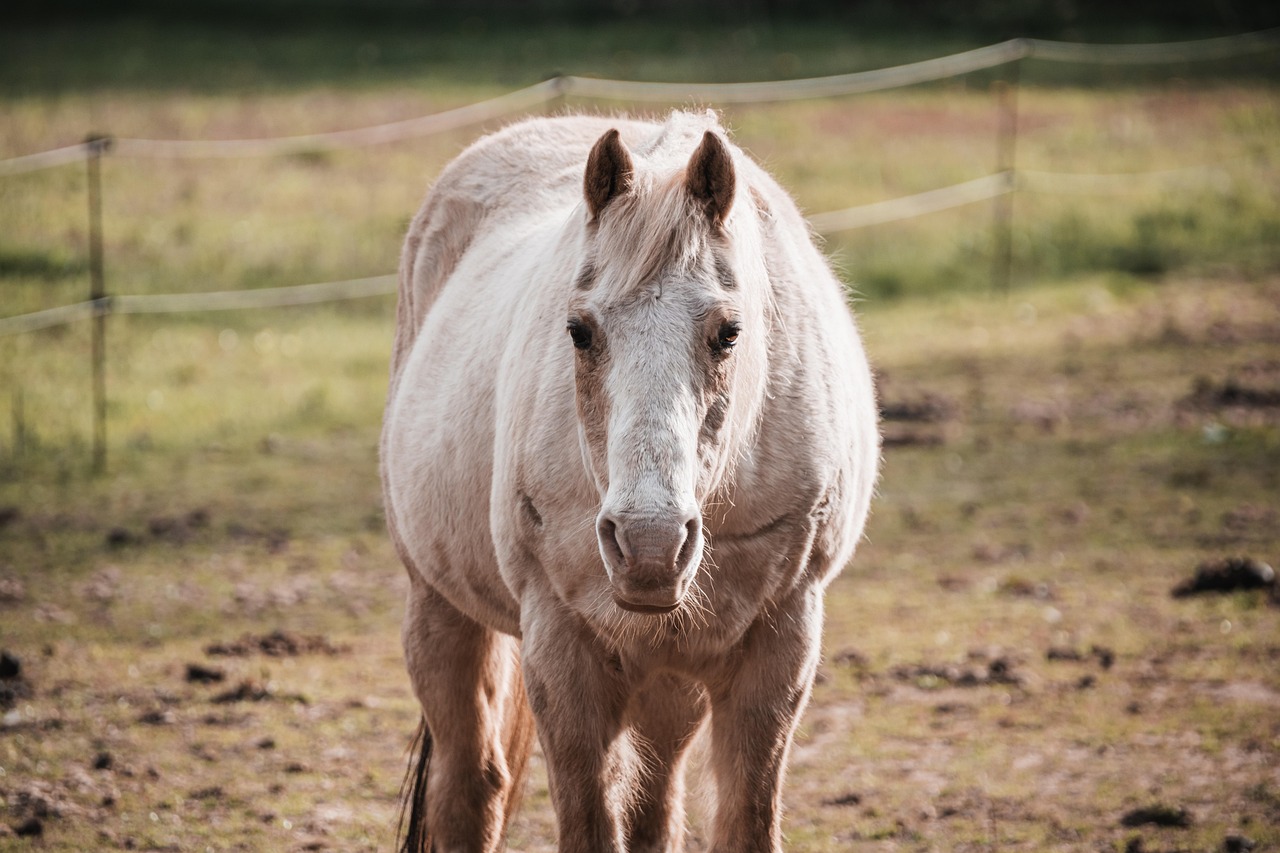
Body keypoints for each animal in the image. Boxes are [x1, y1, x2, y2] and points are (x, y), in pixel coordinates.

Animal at [380, 110, 879, 853]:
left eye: (730, 332)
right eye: (578, 330)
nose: (649, 544)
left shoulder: (779, 647)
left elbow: (743, 821)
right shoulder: (562, 655)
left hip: (668, 681)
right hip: (439, 610)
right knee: (469, 787)